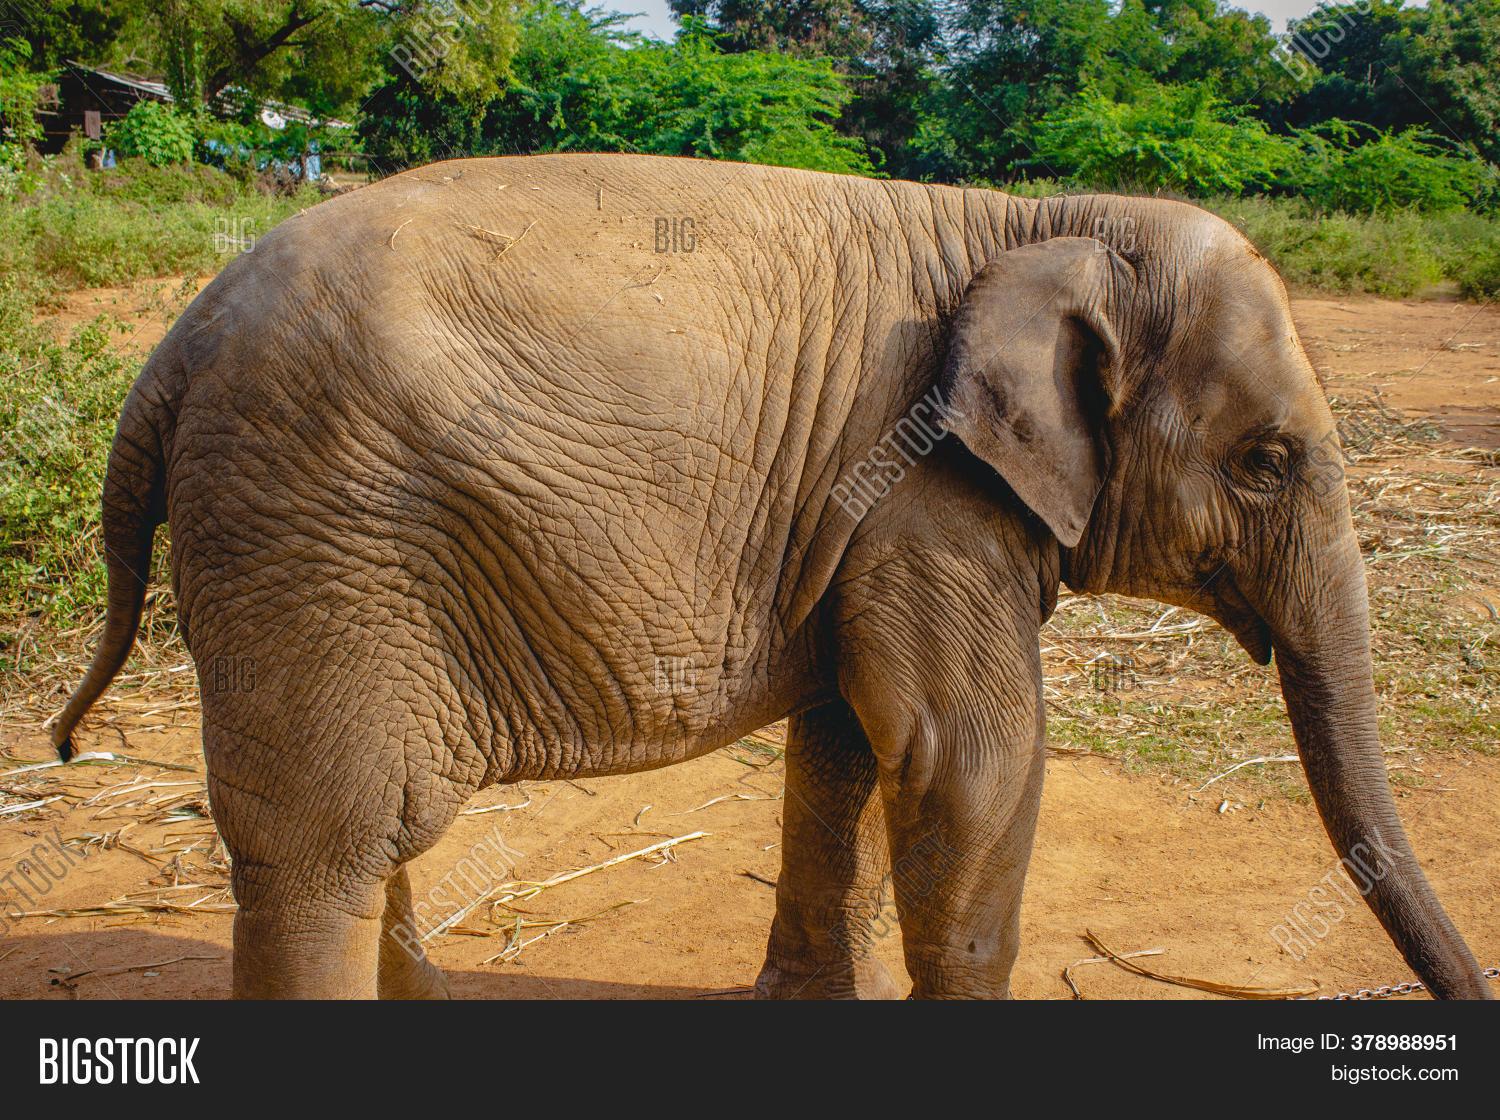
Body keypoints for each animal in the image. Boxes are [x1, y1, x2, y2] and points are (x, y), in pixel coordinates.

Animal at [53, 153, 1491, 999]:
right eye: (1266, 462)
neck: (1045, 219)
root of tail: (171, 351)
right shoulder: (928, 484)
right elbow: (968, 758)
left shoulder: (864, 505)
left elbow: (847, 743)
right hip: (317, 537)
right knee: (324, 847)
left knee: (384, 827)